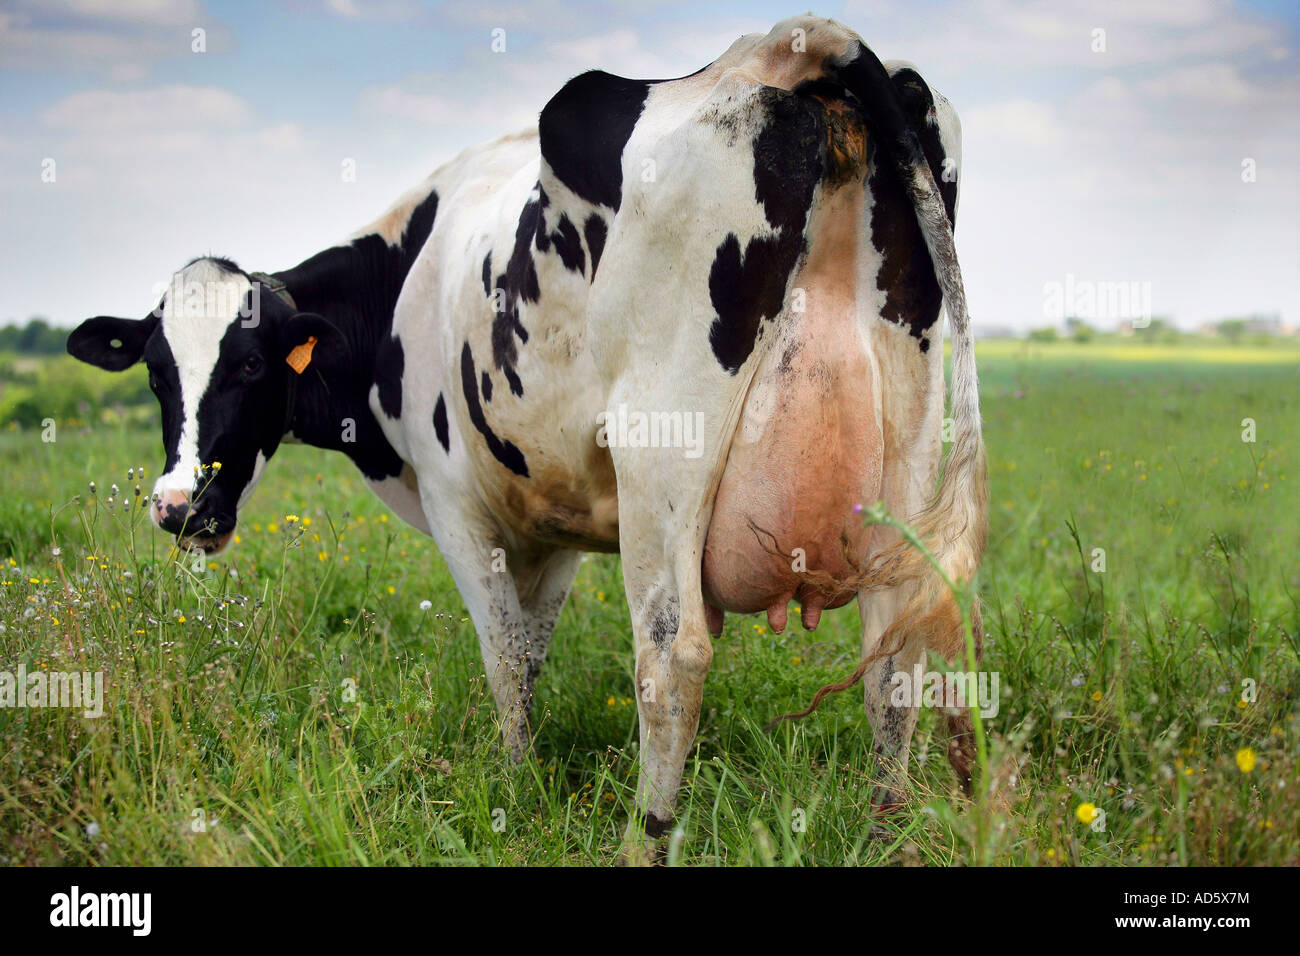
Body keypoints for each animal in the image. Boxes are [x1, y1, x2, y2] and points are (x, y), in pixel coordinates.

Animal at [67, 15, 987, 864]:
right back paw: (887, 834)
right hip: (906, 440)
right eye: (156, 374)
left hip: (665, 449)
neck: (412, 269)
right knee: (894, 654)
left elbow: (505, 657)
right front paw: (526, 773)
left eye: (253, 364)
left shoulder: (458, 504)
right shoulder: (558, 523)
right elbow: (534, 650)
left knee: (673, 657)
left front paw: (512, 788)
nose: (179, 506)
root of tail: (785, 46)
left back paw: (643, 840)